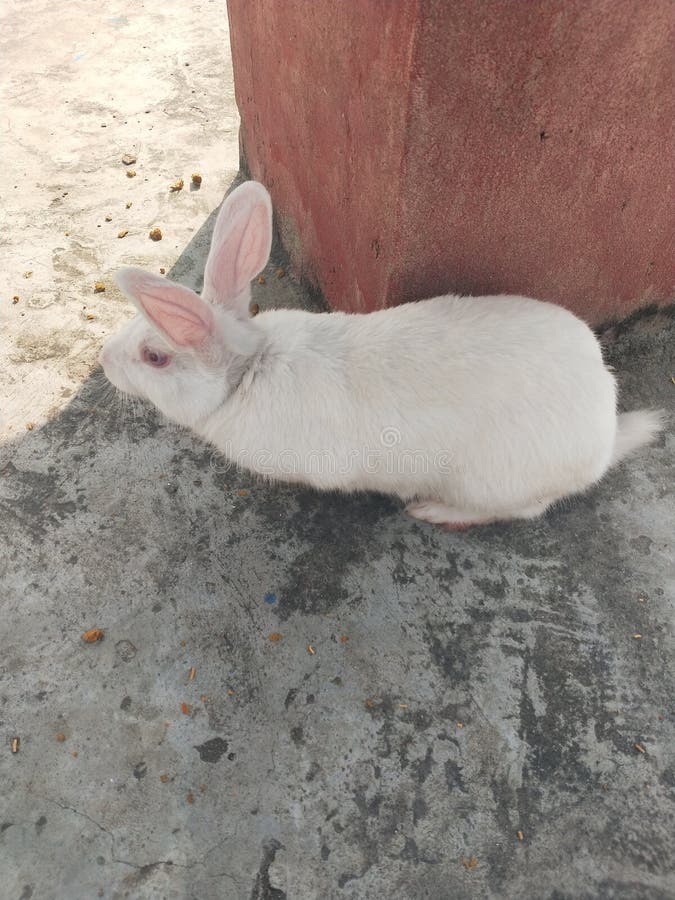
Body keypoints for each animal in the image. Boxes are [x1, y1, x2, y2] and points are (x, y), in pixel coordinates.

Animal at [99, 180, 664, 529]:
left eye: (154, 357)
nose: (104, 360)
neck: (247, 371)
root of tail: (604, 434)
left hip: (494, 481)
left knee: (523, 509)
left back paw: (435, 511)